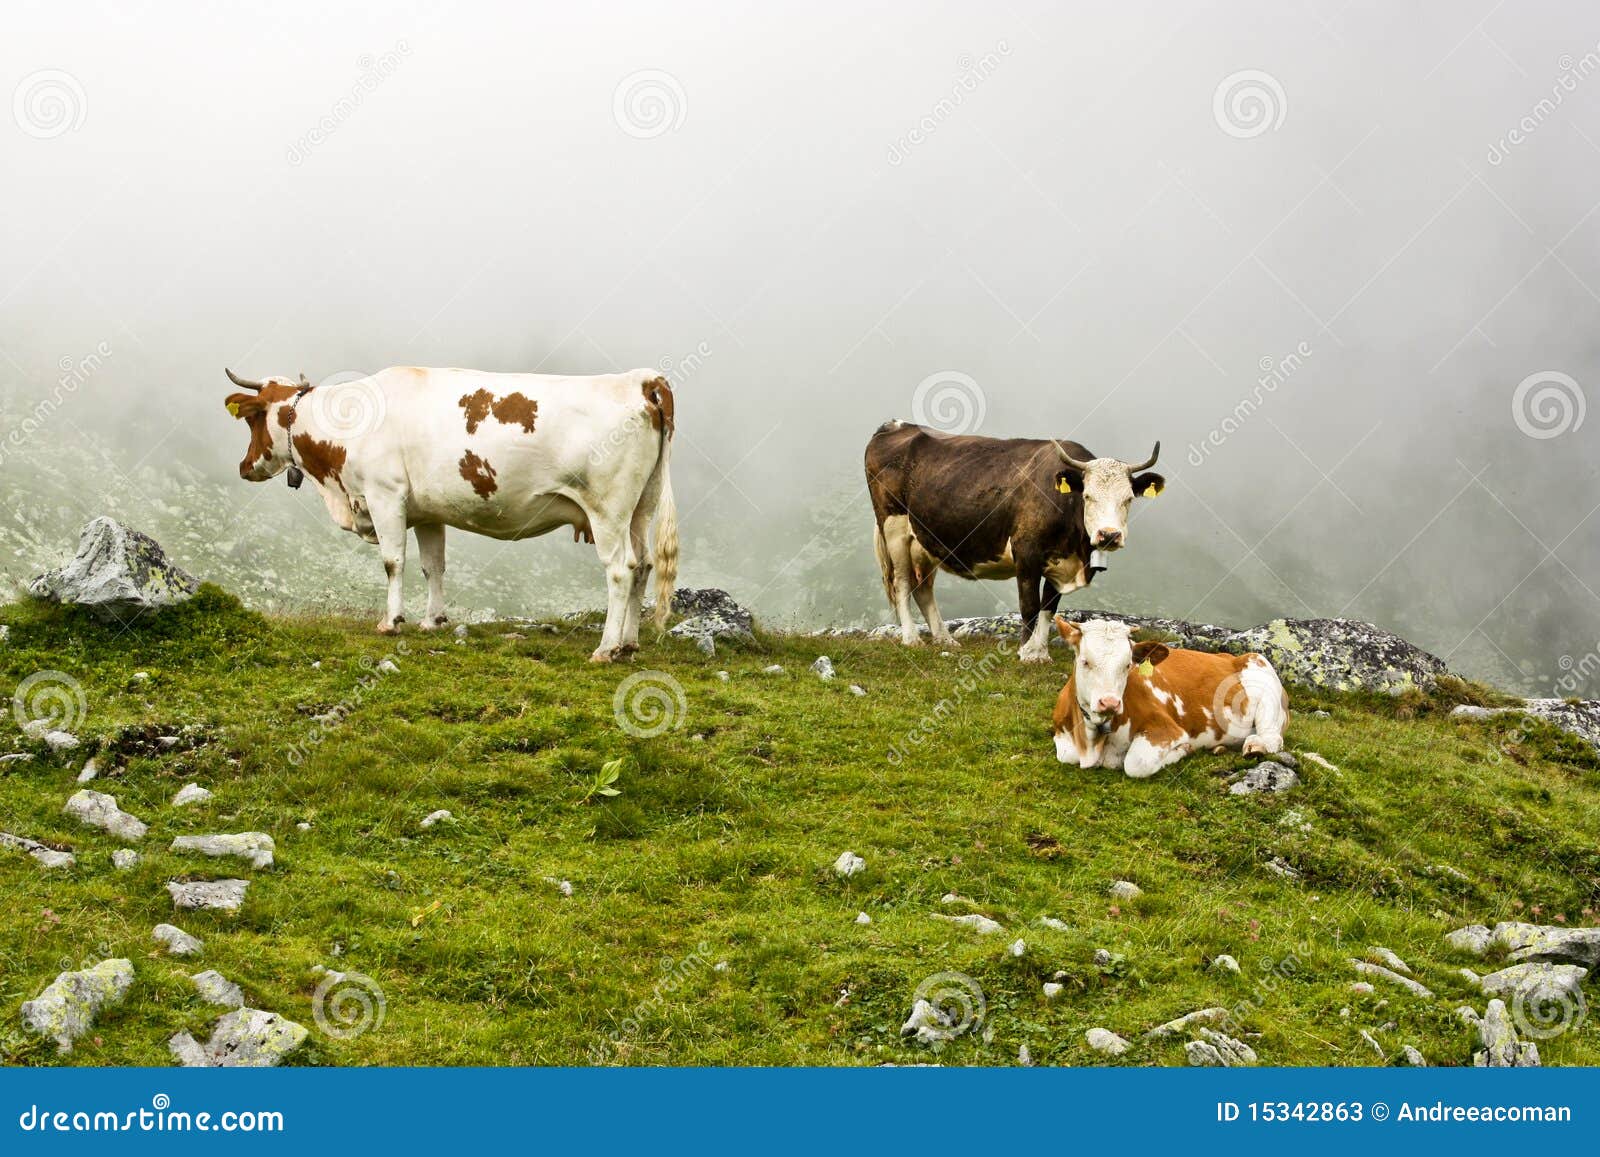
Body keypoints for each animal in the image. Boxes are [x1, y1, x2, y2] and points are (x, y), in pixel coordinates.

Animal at [224, 365, 678, 662]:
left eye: (253, 418)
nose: (243, 466)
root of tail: (640, 379)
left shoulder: (385, 496)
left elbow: (393, 562)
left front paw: (392, 622)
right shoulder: (427, 512)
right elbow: (433, 566)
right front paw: (433, 620)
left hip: (607, 508)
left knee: (620, 570)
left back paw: (605, 648)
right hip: (642, 506)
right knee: (644, 565)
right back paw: (628, 643)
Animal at [863, 420, 1164, 662]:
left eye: (1128, 499)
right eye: (1088, 496)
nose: (1109, 535)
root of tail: (896, 426)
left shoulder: (1059, 562)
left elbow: (1048, 608)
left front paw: (1039, 653)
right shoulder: (1026, 552)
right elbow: (1029, 606)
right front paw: (1025, 652)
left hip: (925, 541)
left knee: (923, 588)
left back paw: (944, 639)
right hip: (893, 527)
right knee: (902, 583)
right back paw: (912, 638)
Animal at [1051, 618, 1288, 778]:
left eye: (1127, 665)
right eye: (1085, 661)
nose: (1110, 703)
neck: (1091, 742)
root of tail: (1235, 657)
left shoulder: (1167, 730)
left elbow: (1136, 763)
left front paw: (1184, 750)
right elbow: (1066, 755)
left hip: (1268, 695)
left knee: (1272, 738)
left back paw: (1255, 747)